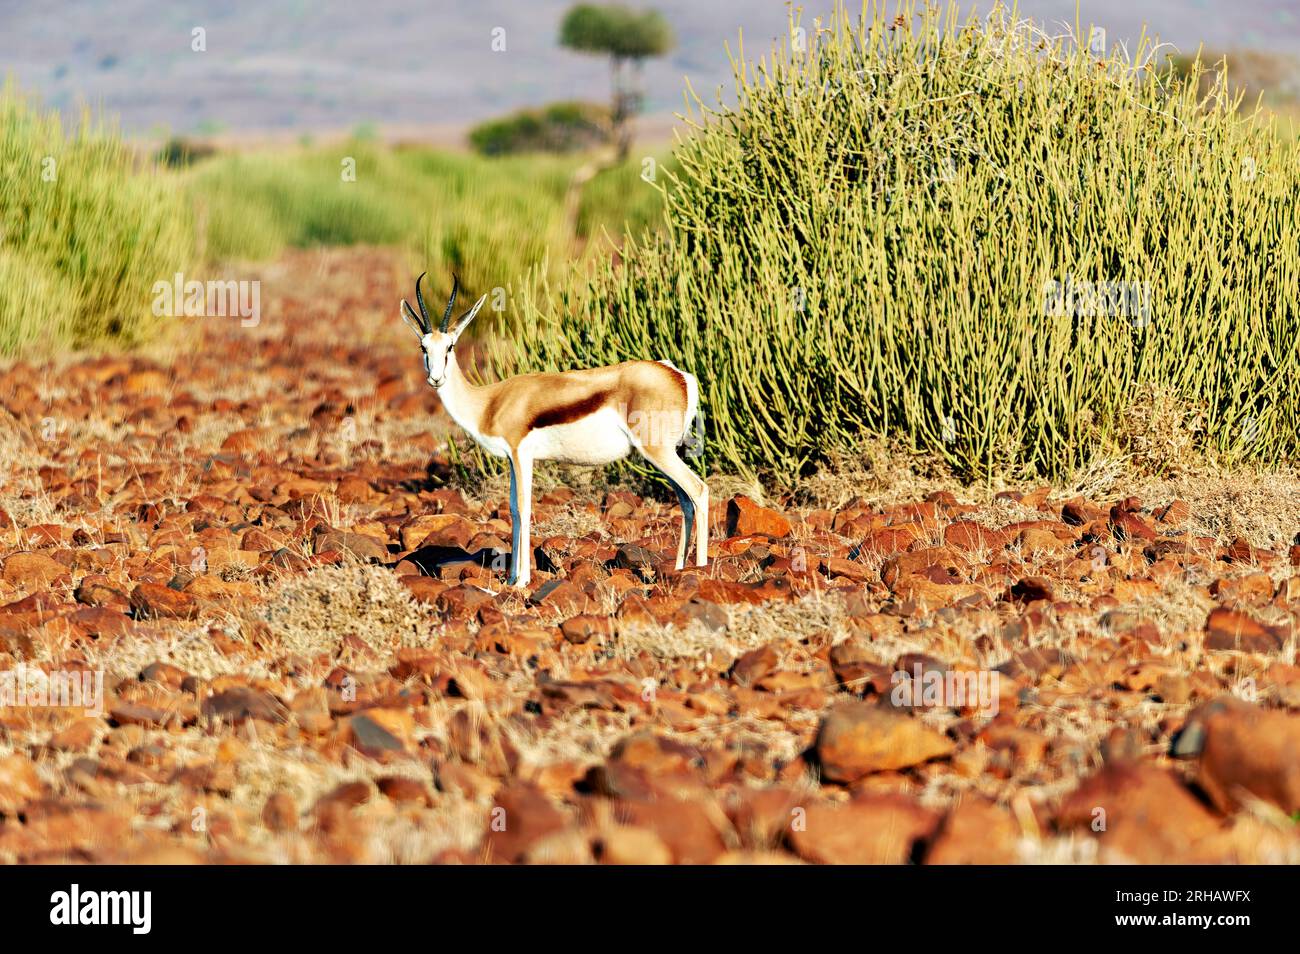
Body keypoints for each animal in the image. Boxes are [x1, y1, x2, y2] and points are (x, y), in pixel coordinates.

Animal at [401, 273, 708, 588]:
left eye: (450, 346)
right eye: (423, 347)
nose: (435, 378)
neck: (489, 402)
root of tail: (678, 375)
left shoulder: (521, 454)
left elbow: (524, 508)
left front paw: (522, 580)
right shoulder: (512, 459)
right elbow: (513, 509)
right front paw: (511, 579)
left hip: (658, 452)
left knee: (699, 490)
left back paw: (701, 567)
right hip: (662, 454)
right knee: (685, 499)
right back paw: (680, 566)